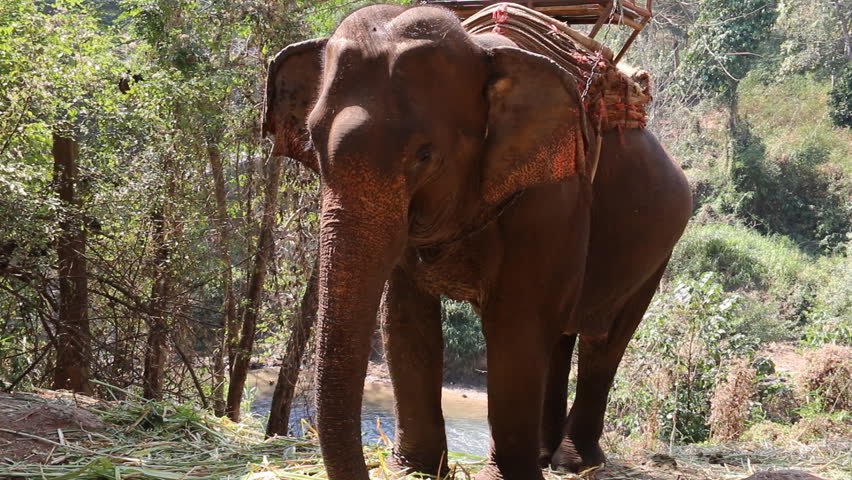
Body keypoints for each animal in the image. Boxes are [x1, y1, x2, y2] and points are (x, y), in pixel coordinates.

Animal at [262, 4, 692, 480]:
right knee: (560, 337)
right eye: (313, 143)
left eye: (425, 155)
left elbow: (516, 322)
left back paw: (576, 463)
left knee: (604, 341)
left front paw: (501, 476)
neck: (481, 51)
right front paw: (416, 470)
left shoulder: (552, 194)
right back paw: (545, 456)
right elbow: (405, 320)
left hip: (660, 248)